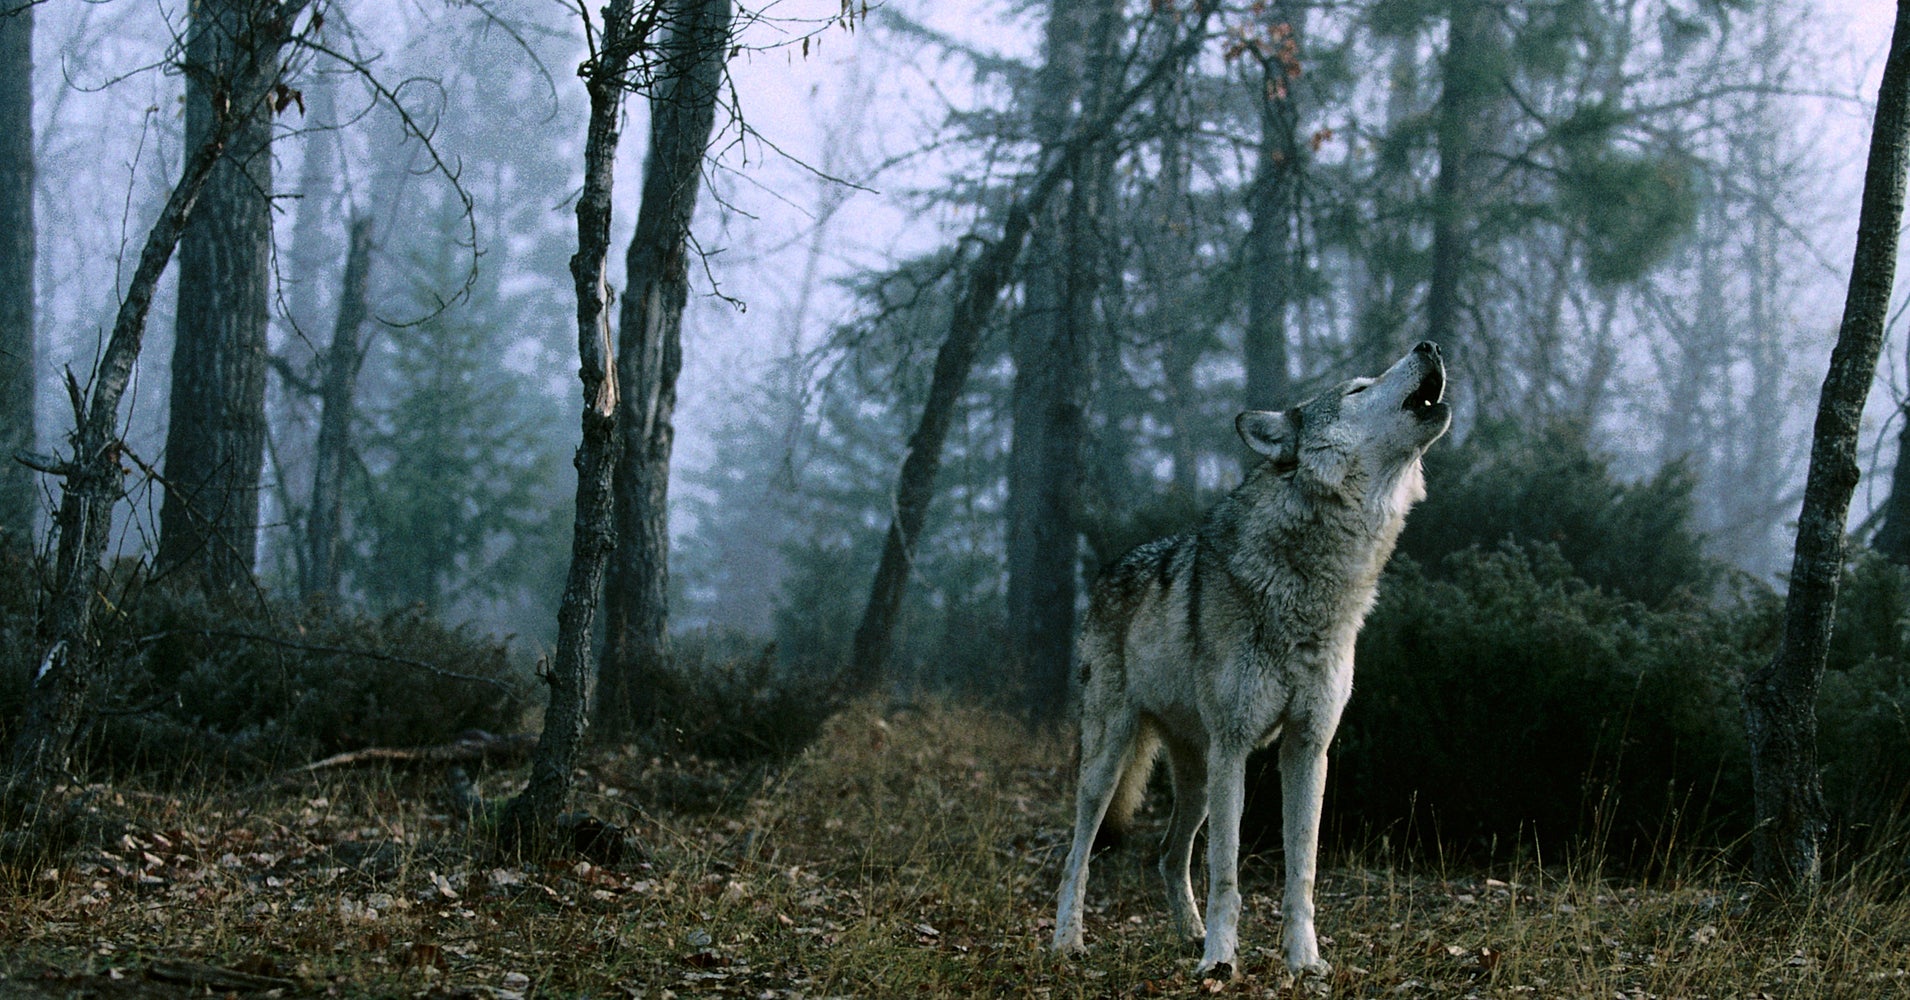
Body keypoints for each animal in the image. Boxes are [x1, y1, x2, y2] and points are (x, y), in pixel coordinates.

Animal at [1051, 341, 1451, 978]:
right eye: (1359, 389)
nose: (1428, 345)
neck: (1313, 591)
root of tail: (1109, 570)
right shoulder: (1237, 746)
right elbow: (1227, 873)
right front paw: (1220, 960)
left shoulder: (1308, 747)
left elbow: (1301, 872)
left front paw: (1304, 962)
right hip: (1114, 763)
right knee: (1079, 854)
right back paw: (1069, 942)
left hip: (1198, 779)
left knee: (1168, 855)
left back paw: (1187, 933)